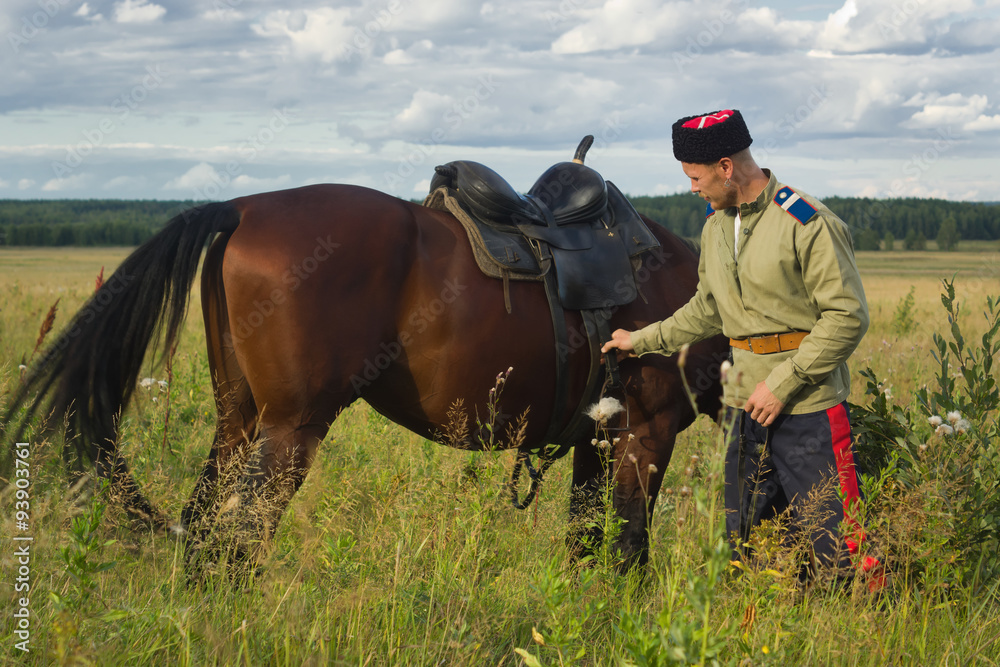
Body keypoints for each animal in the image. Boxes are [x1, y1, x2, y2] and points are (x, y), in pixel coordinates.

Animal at [3, 164, 727, 573]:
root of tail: (240, 207)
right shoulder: (644, 436)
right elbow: (627, 554)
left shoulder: (596, 443)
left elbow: (588, 547)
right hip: (289, 431)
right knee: (237, 542)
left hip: (237, 421)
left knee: (206, 524)